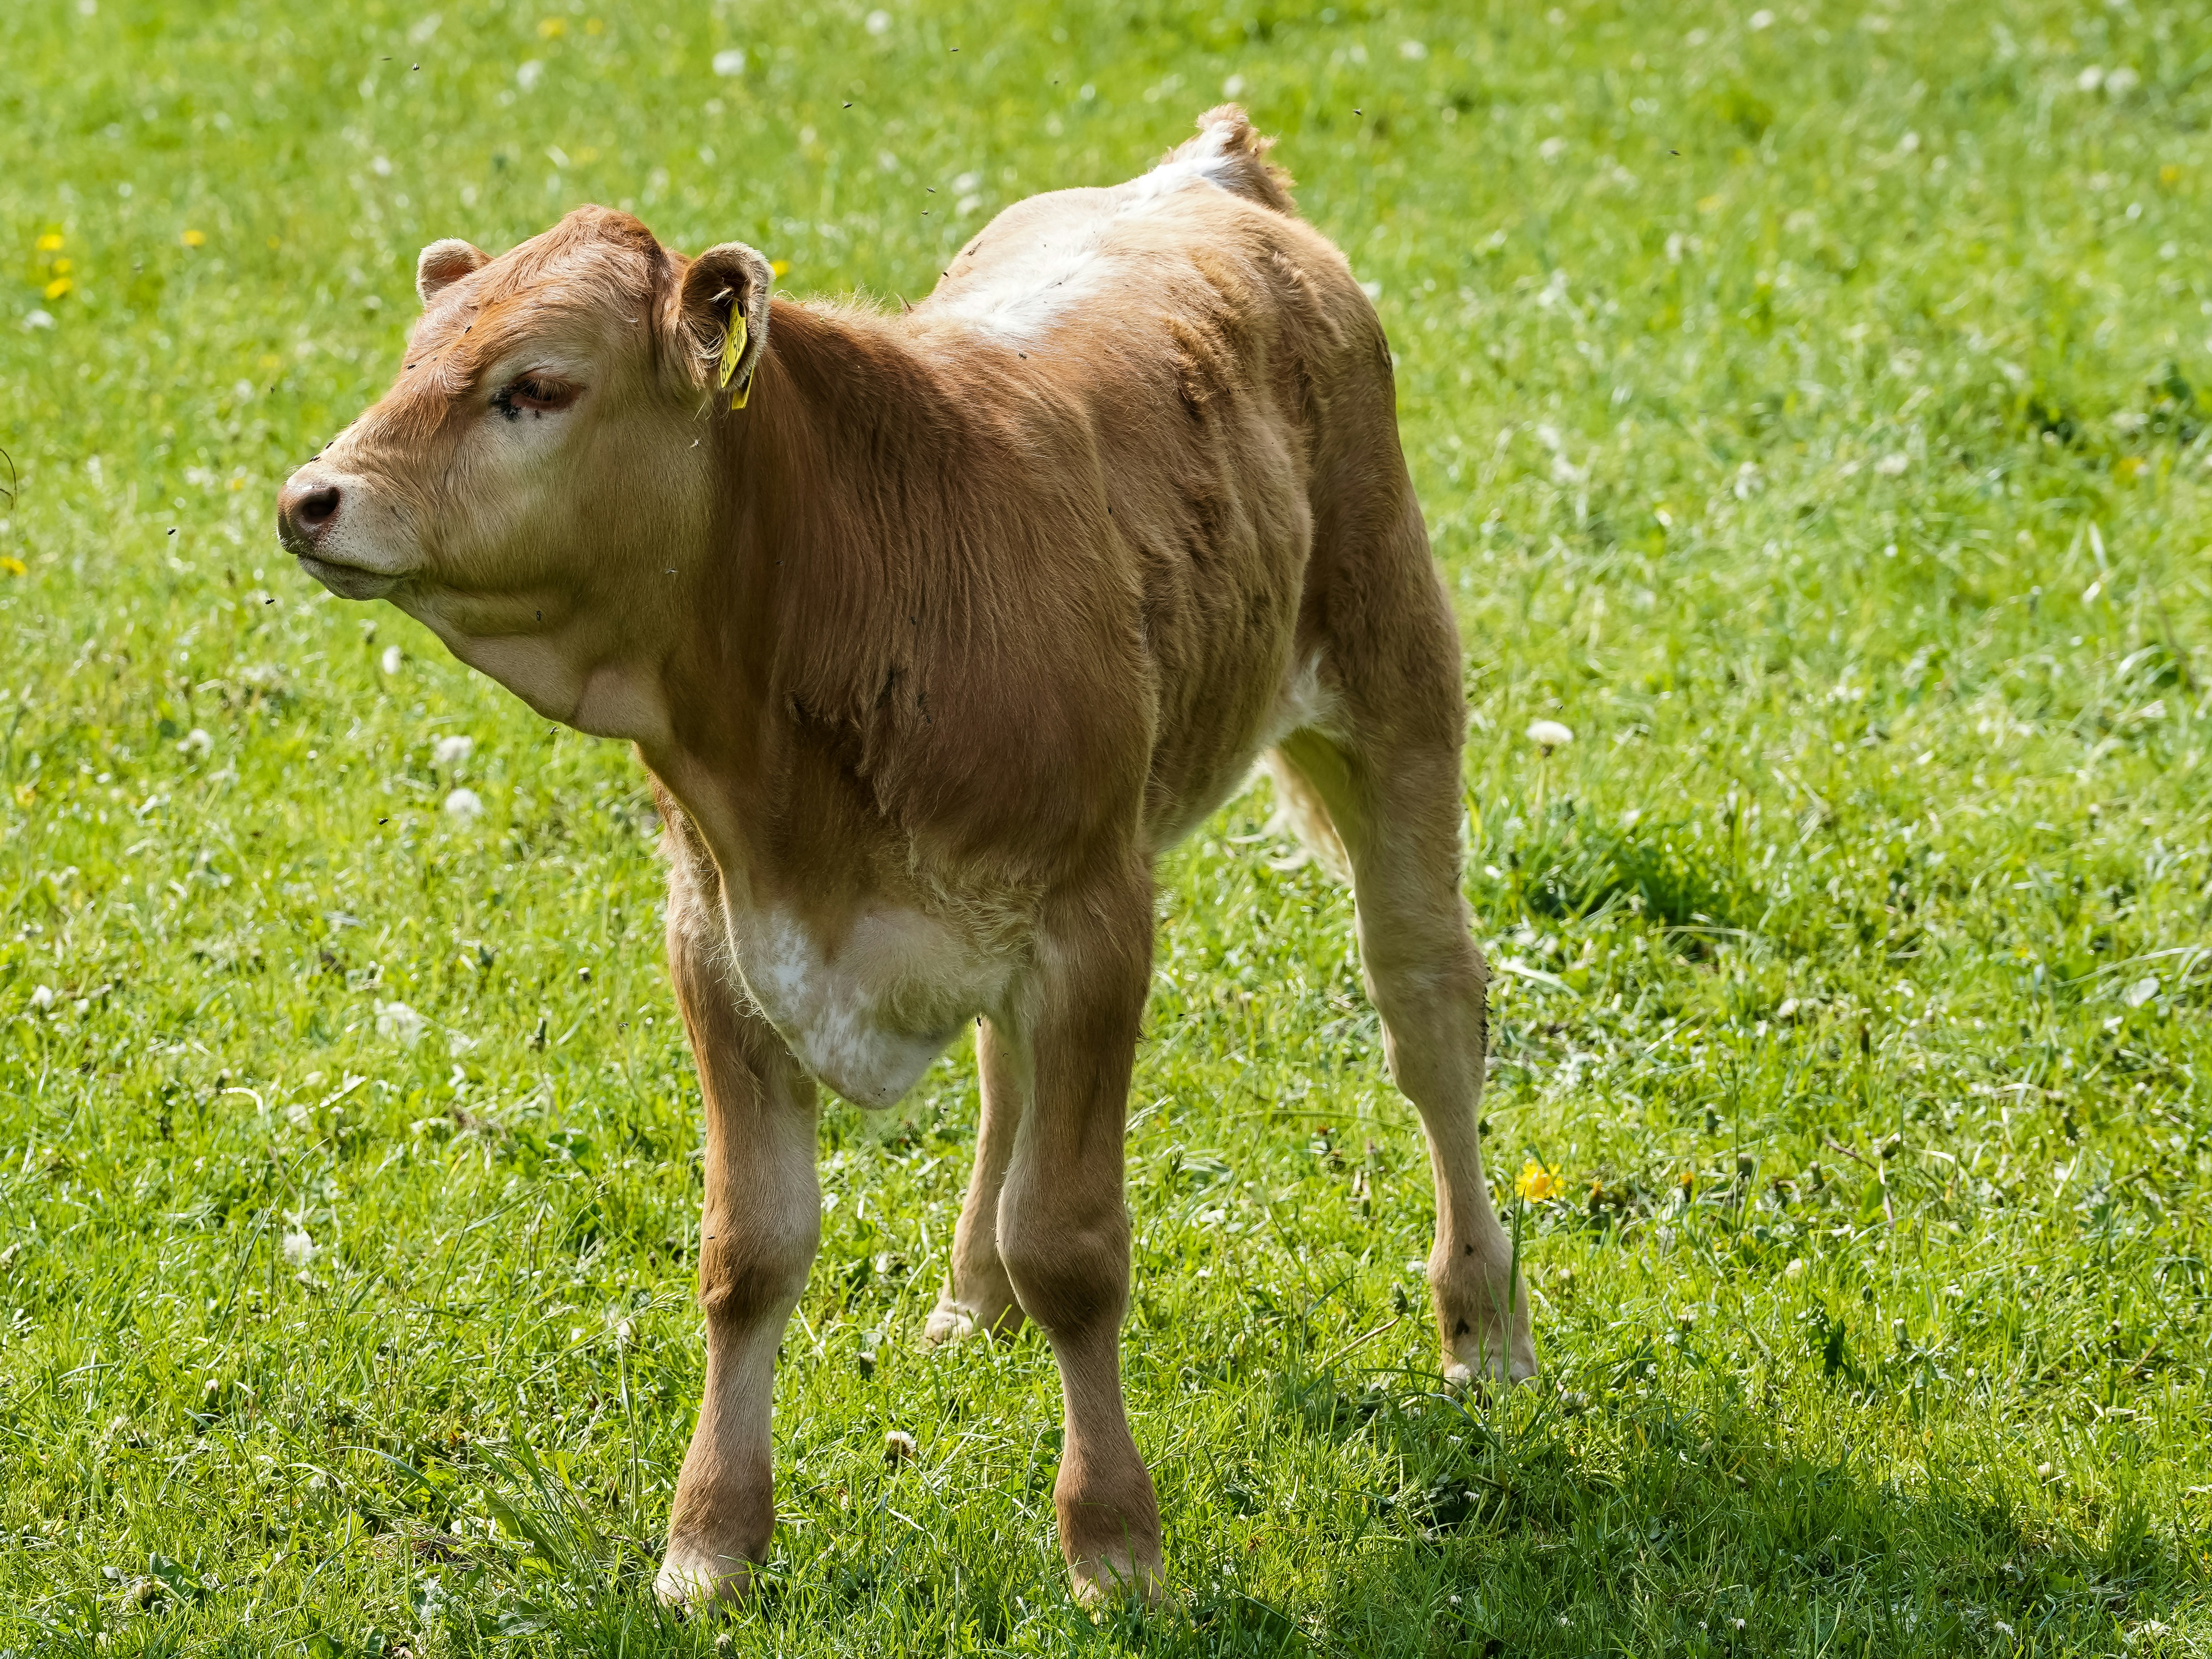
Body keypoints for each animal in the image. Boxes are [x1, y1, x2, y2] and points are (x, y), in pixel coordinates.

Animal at [277, 105, 1535, 1610]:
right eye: (413, 359)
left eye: (536, 385)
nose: (311, 497)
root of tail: (1203, 174)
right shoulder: (718, 940)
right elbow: (748, 1248)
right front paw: (710, 1538)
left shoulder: (1094, 923)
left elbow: (1074, 1245)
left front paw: (1112, 1539)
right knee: (1006, 1079)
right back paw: (967, 1301)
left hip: (1396, 686)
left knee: (1428, 1015)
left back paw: (1483, 1327)